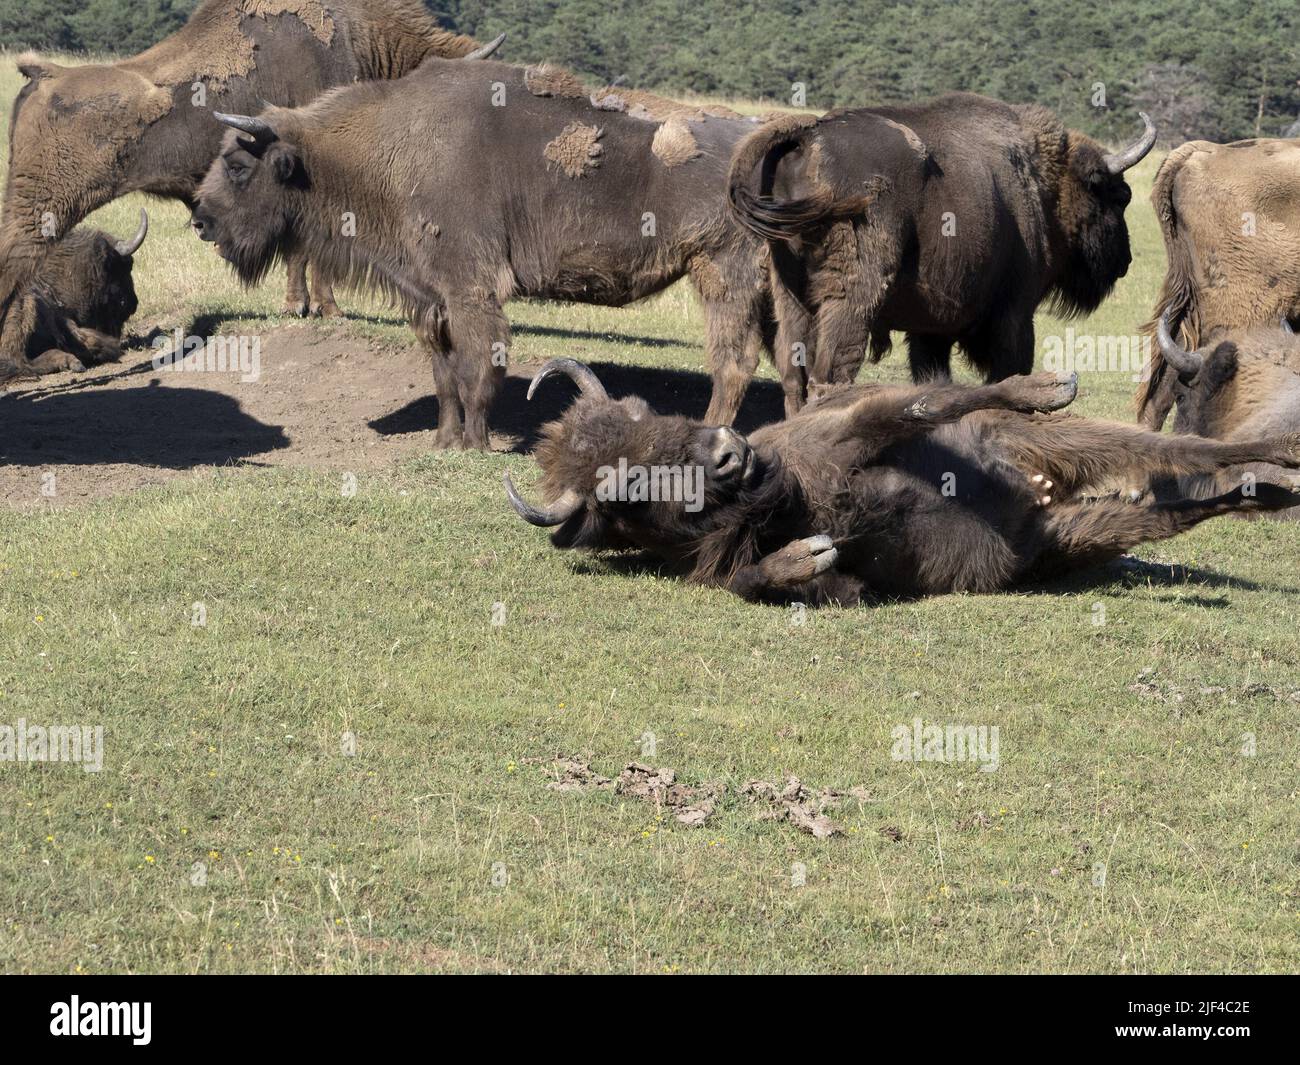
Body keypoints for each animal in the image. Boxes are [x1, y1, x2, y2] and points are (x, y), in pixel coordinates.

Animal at [0, 0, 499, 381]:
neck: (357, 41)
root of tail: (43, 75)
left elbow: (301, 253)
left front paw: (305, 305)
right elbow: (310, 253)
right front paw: (322, 308)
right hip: (46, 208)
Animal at [190, 57, 781, 448]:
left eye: (238, 166)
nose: (200, 220)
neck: (392, 147)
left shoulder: (472, 291)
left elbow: (477, 368)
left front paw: (475, 443)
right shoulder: (429, 298)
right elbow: (442, 373)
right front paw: (444, 441)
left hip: (723, 273)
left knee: (733, 363)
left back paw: (710, 435)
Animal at [504, 359, 1300, 604]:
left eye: (651, 415)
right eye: (626, 486)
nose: (731, 452)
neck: (783, 495)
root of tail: (1038, 496)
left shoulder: (853, 432)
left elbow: (924, 402)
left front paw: (1042, 385)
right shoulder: (835, 583)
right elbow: (754, 581)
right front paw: (803, 557)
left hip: (1058, 446)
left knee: (1182, 447)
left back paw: (1283, 457)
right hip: (1064, 542)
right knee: (1172, 506)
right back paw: (1268, 491)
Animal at [728, 94, 1156, 410]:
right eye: (1119, 197)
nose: (1125, 261)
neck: (1044, 182)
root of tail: (810, 136)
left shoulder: (931, 331)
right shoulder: (1014, 313)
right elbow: (1009, 369)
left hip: (790, 293)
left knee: (794, 377)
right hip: (853, 296)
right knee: (830, 375)